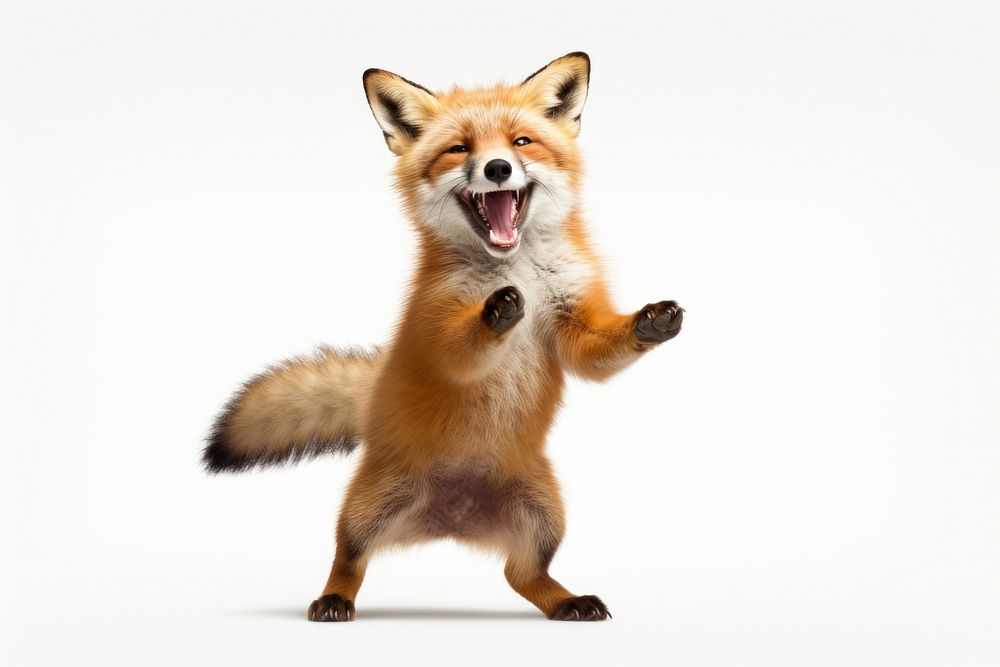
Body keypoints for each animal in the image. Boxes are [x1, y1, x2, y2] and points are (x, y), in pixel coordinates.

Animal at [204, 51, 684, 622]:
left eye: (521, 142)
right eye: (459, 149)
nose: (497, 168)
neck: (516, 268)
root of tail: (450, 522)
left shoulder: (572, 322)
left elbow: (597, 353)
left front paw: (648, 322)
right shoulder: (436, 322)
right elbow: (462, 346)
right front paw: (495, 313)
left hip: (546, 516)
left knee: (522, 576)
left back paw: (567, 601)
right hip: (366, 508)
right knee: (348, 560)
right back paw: (333, 599)